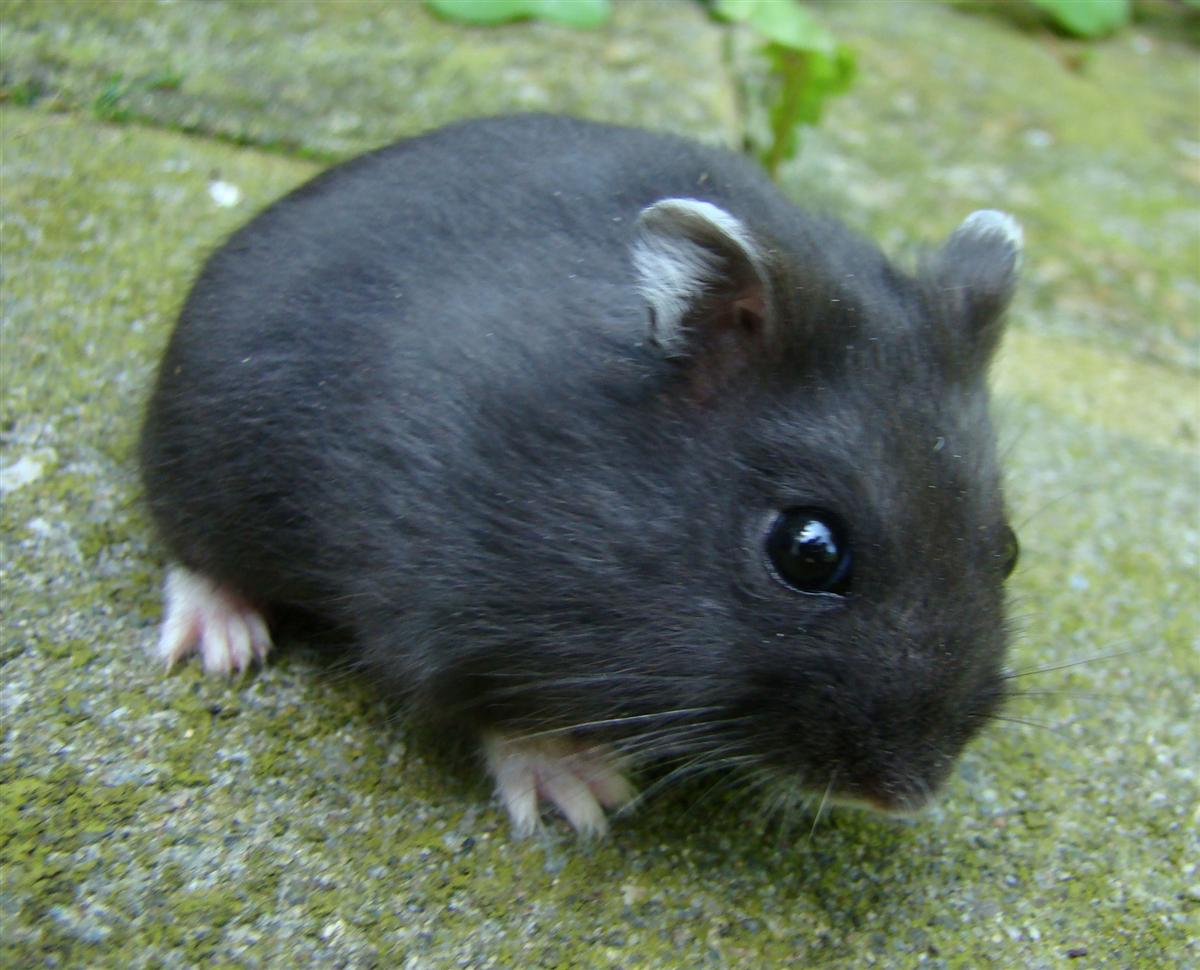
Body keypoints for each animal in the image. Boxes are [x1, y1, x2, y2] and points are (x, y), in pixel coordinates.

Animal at [140, 114, 1023, 837]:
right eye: (808, 551)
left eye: (1009, 548)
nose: (909, 795)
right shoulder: (444, 609)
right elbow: (505, 712)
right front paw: (591, 799)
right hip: (206, 464)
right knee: (191, 553)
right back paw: (223, 646)